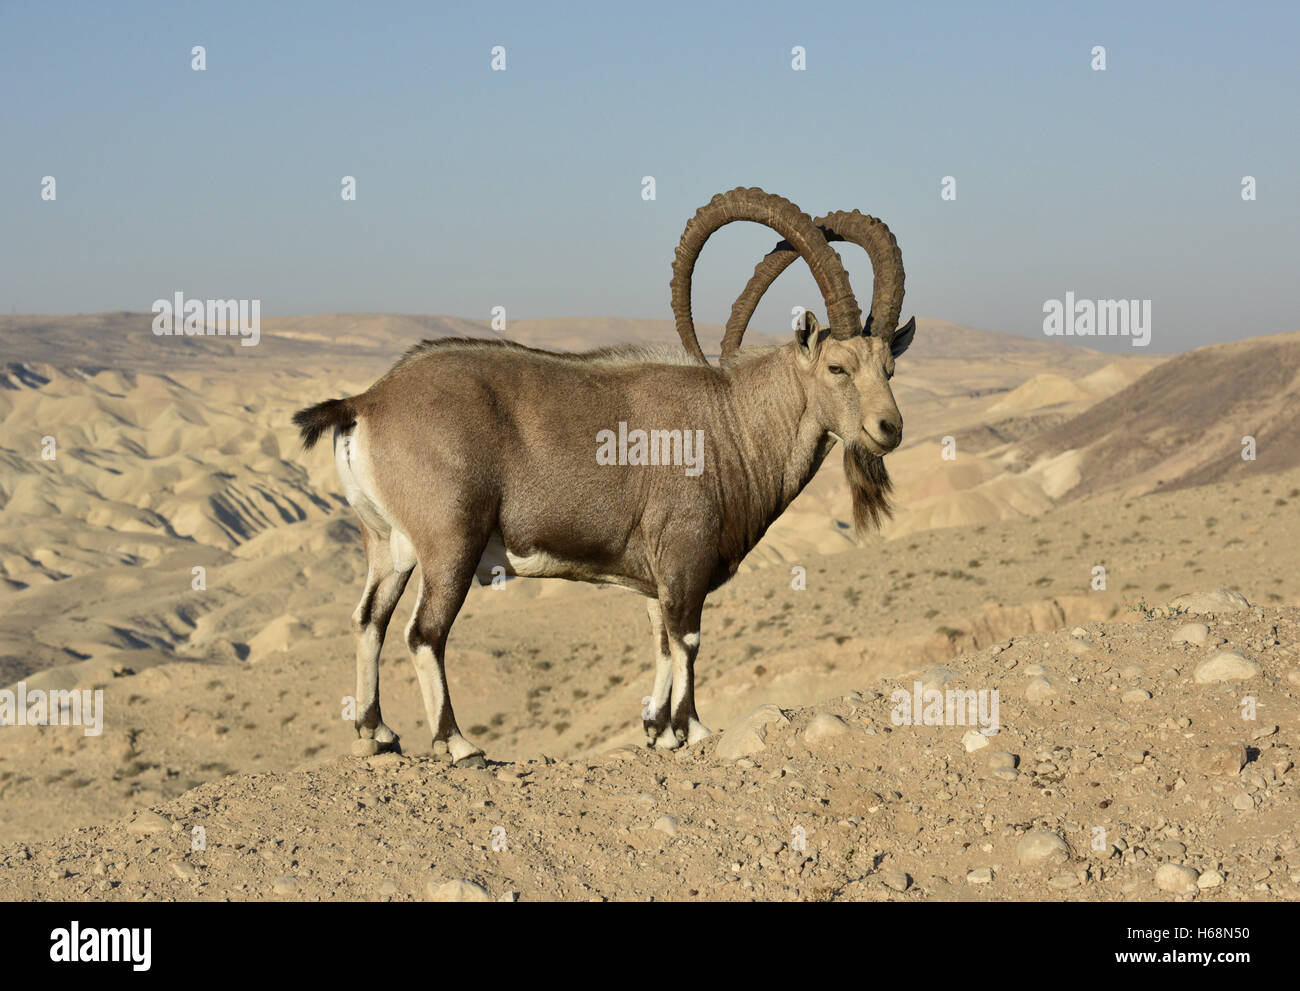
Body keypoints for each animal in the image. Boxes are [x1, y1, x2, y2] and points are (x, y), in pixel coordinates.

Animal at [294, 188, 915, 765]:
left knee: (369, 619)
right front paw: (693, 728)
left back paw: (377, 733)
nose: (889, 428)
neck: (731, 421)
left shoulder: (656, 575)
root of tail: (368, 402)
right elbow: (687, 639)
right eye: (837, 367)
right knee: (424, 632)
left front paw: (657, 730)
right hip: (450, 542)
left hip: (387, 542)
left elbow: (661, 641)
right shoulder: (685, 554)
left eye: (889, 367)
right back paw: (458, 743)